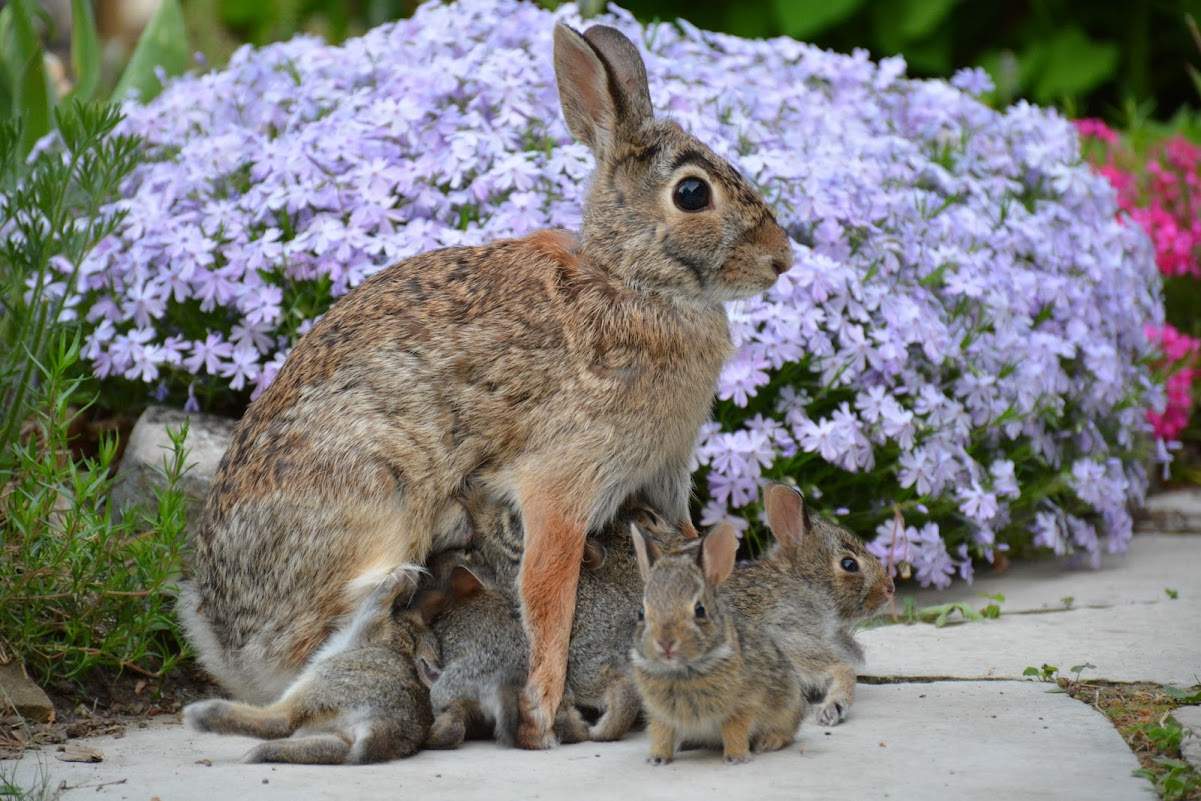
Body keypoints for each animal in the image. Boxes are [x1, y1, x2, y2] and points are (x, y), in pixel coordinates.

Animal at [182, 568, 440, 764]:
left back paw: (200, 714)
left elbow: (376, 604)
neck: (406, 641)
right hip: (333, 730)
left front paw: (400, 577)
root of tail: (382, 727)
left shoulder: (370, 626)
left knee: (280, 720)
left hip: (318, 681)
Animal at [630, 523, 806, 765]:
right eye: (641, 612)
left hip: (788, 704)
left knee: (787, 731)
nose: (665, 643)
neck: (683, 670)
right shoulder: (659, 714)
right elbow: (661, 733)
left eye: (699, 610)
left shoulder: (744, 705)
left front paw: (736, 757)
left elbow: (735, 730)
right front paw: (657, 758)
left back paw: (769, 741)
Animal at [723, 483, 894, 727]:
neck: (803, 582)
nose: (890, 588)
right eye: (849, 564)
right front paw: (833, 706)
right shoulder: (790, 635)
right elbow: (842, 669)